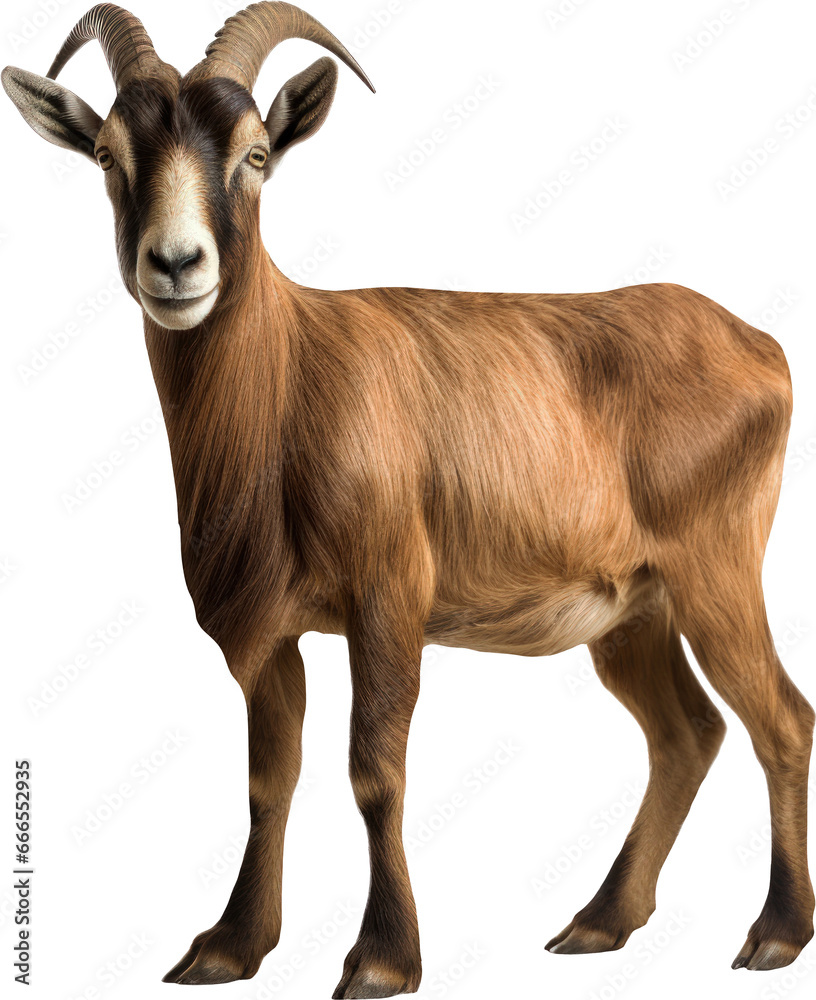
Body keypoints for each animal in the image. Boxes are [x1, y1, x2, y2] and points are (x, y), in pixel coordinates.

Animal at [3, 2, 814, 995]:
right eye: (108, 153)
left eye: (257, 151)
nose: (177, 264)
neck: (293, 385)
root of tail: (762, 346)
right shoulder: (263, 636)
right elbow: (269, 777)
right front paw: (228, 946)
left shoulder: (388, 600)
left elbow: (374, 768)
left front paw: (381, 960)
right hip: (634, 611)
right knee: (686, 732)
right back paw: (599, 923)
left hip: (717, 573)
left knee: (781, 720)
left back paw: (774, 934)